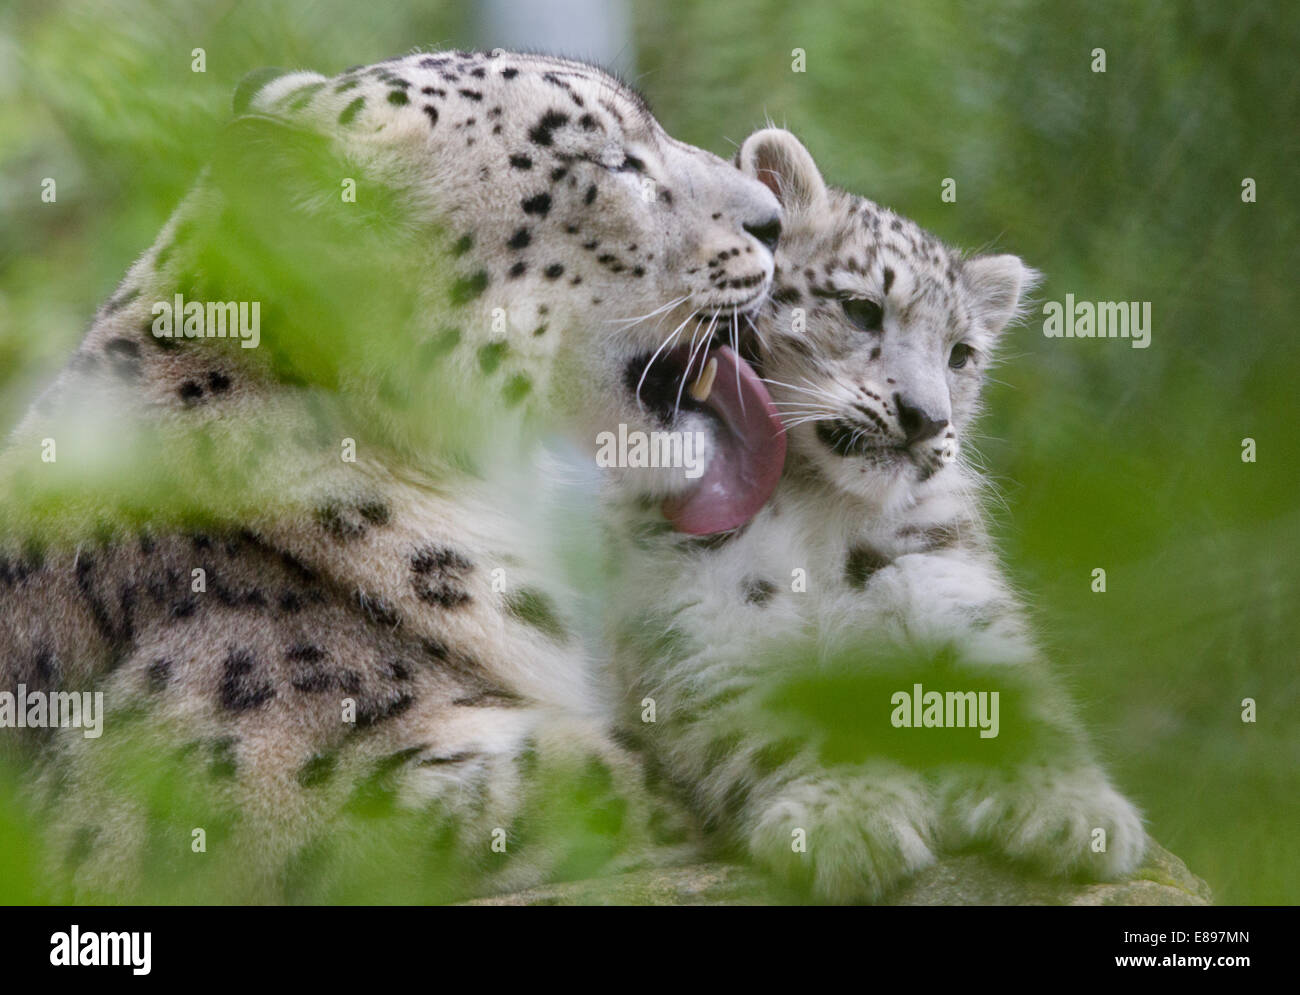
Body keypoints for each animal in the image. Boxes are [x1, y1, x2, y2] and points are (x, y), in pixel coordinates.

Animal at [602, 128, 1146, 904]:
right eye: (860, 309)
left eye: (961, 354)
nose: (926, 419)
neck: (814, 498)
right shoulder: (704, 619)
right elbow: (773, 723)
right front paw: (849, 816)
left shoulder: (942, 571)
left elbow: (1012, 692)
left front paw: (1071, 807)